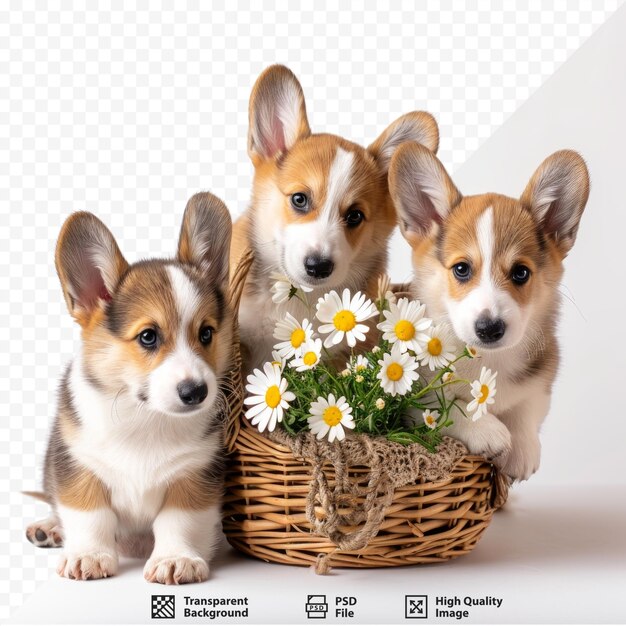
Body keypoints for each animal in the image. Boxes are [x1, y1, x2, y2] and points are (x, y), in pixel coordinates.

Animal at [24, 193, 234, 584]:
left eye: (206, 333)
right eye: (148, 336)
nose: (196, 392)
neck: (145, 416)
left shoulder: (196, 473)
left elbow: (178, 520)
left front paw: (175, 558)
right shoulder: (78, 464)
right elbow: (89, 515)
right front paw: (88, 555)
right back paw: (49, 528)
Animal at [388, 145, 588, 478]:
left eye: (521, 273)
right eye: (461, 269)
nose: (490, 328)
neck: (487, 360)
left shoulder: (542, 378)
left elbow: (527, 407)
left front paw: (522, 447)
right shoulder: (416, 403)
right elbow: (450, 409)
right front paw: (487, 430)